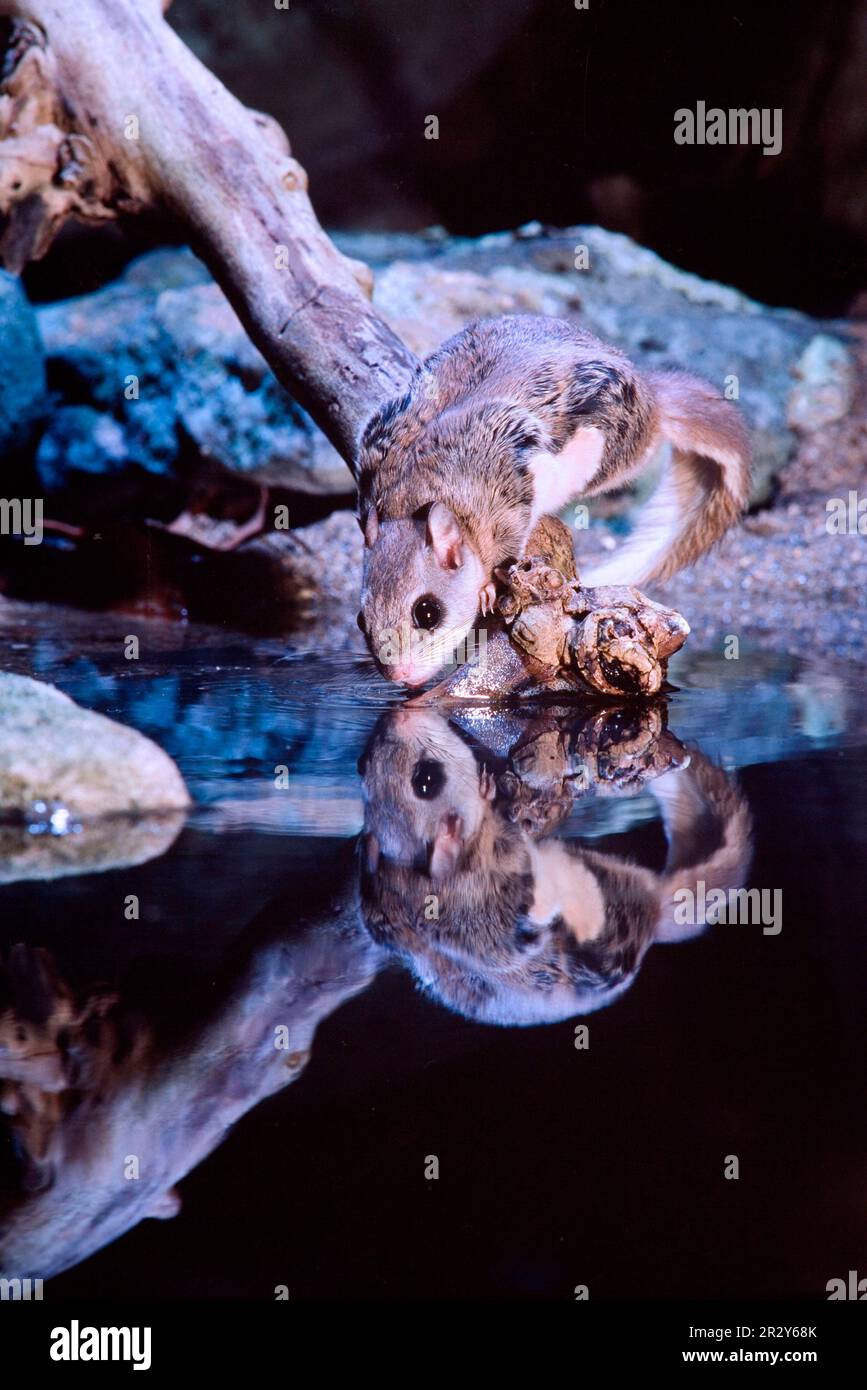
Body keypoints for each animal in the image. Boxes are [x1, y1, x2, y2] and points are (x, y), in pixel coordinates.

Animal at [356, 315, 751, 687]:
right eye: (361, 620)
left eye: (427, 612)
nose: (400, 677)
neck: (414, 496)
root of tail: (656, 402)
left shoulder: (510, 505)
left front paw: (486, 589)